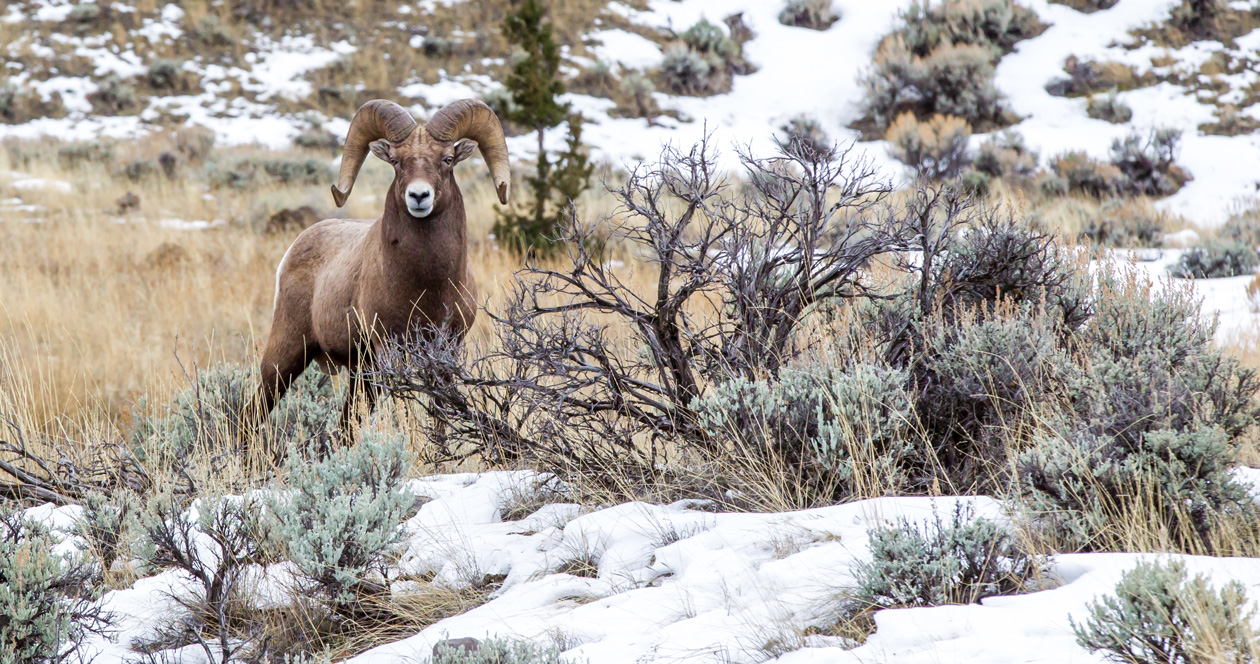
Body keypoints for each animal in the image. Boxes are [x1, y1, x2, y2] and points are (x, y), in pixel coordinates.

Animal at [250, 98, 510, 443]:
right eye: (396, 161)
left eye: (447, 159)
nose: (418, 196)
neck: (426, 286)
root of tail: (294, 249)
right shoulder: (390, 348)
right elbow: (404, 408)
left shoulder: (446, 350)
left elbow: (440, 413)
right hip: (287, 355)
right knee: (253, 411)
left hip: (360, 375)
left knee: (346, 425)